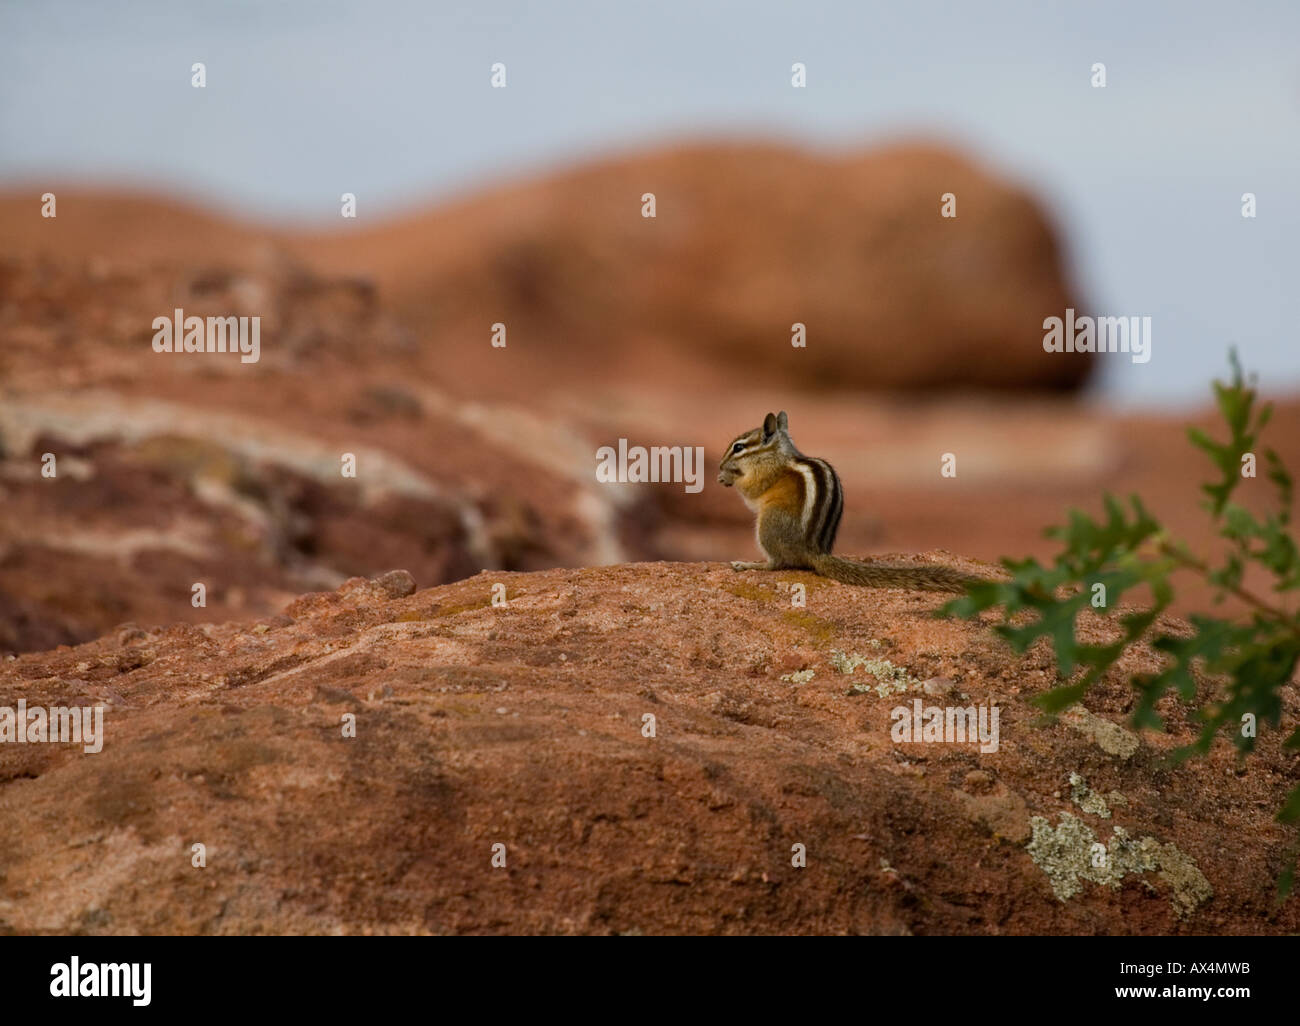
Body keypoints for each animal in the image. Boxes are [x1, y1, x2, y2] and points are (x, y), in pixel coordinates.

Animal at [717, 410, 986, 592]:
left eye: (738, 447)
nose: (720, 465)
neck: (776, 454)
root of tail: (813, 551)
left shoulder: (766, 476)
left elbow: (751, 491)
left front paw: (728, 477)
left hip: (768, 524)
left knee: (778, 564)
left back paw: (749, 564)